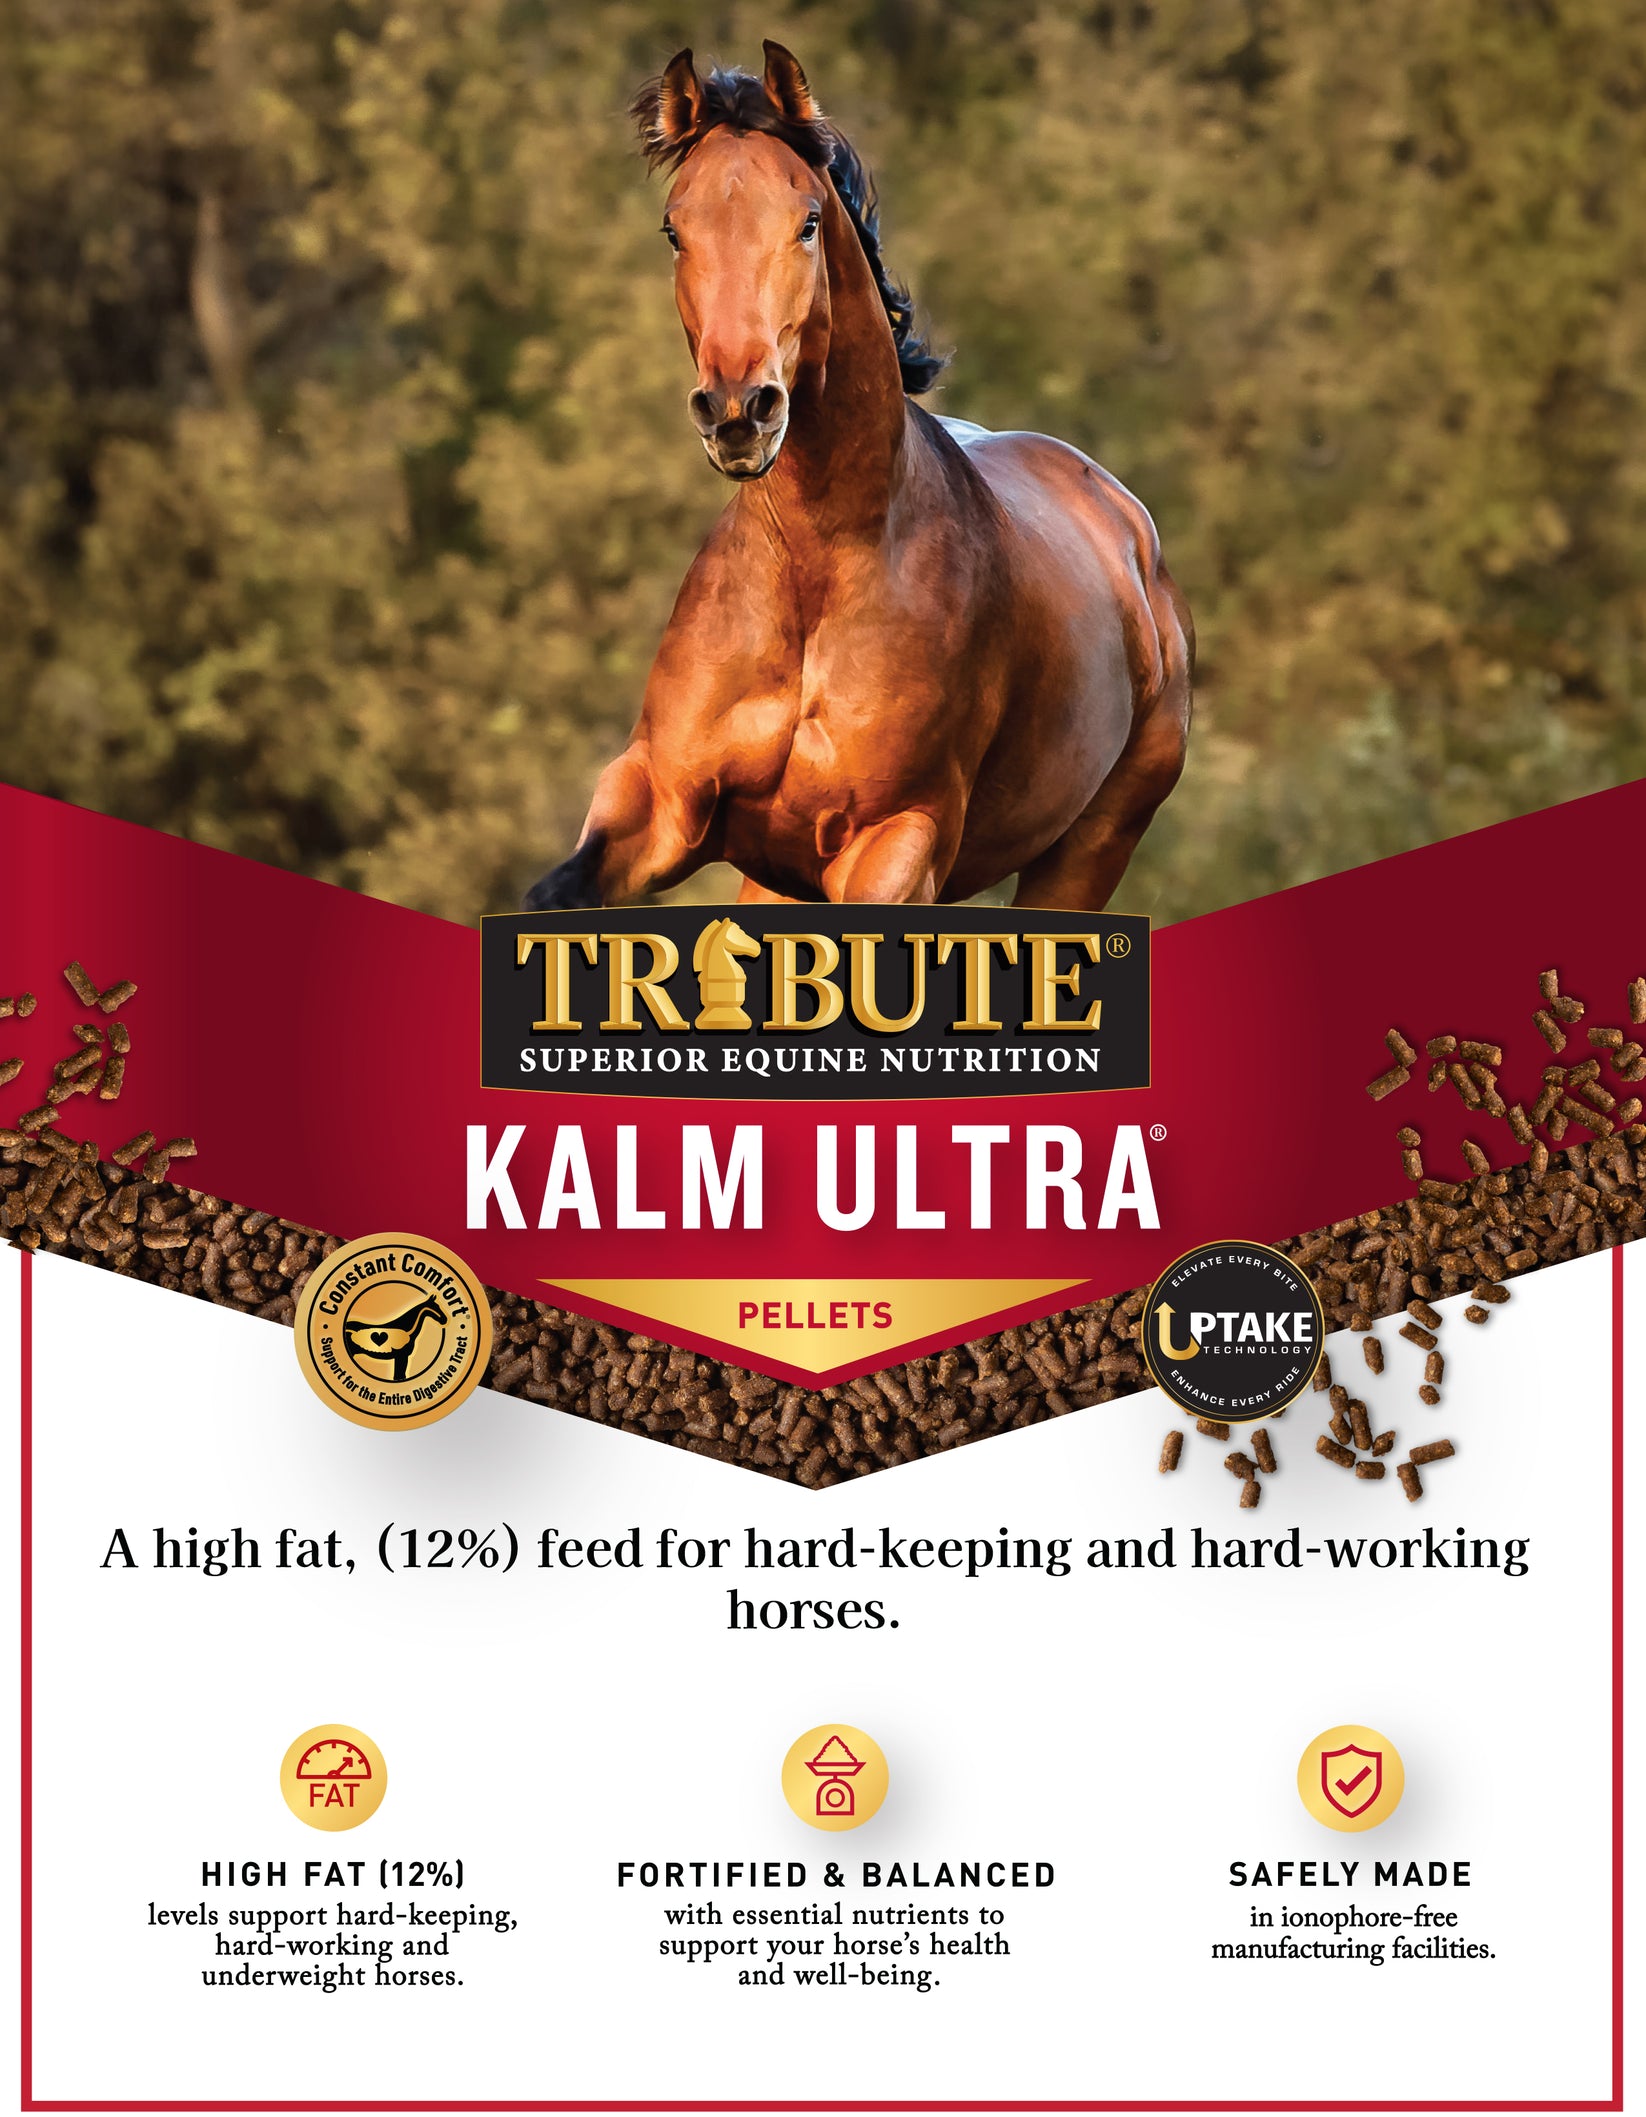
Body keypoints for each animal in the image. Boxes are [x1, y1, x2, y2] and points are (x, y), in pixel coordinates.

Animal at [524, 42, 1192, 913]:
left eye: (808, 221)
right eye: (675, 227)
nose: (738, 409)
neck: (815, 573)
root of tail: (1131, 533)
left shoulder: (894, 841)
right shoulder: (657, 803)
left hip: (1086, 852)